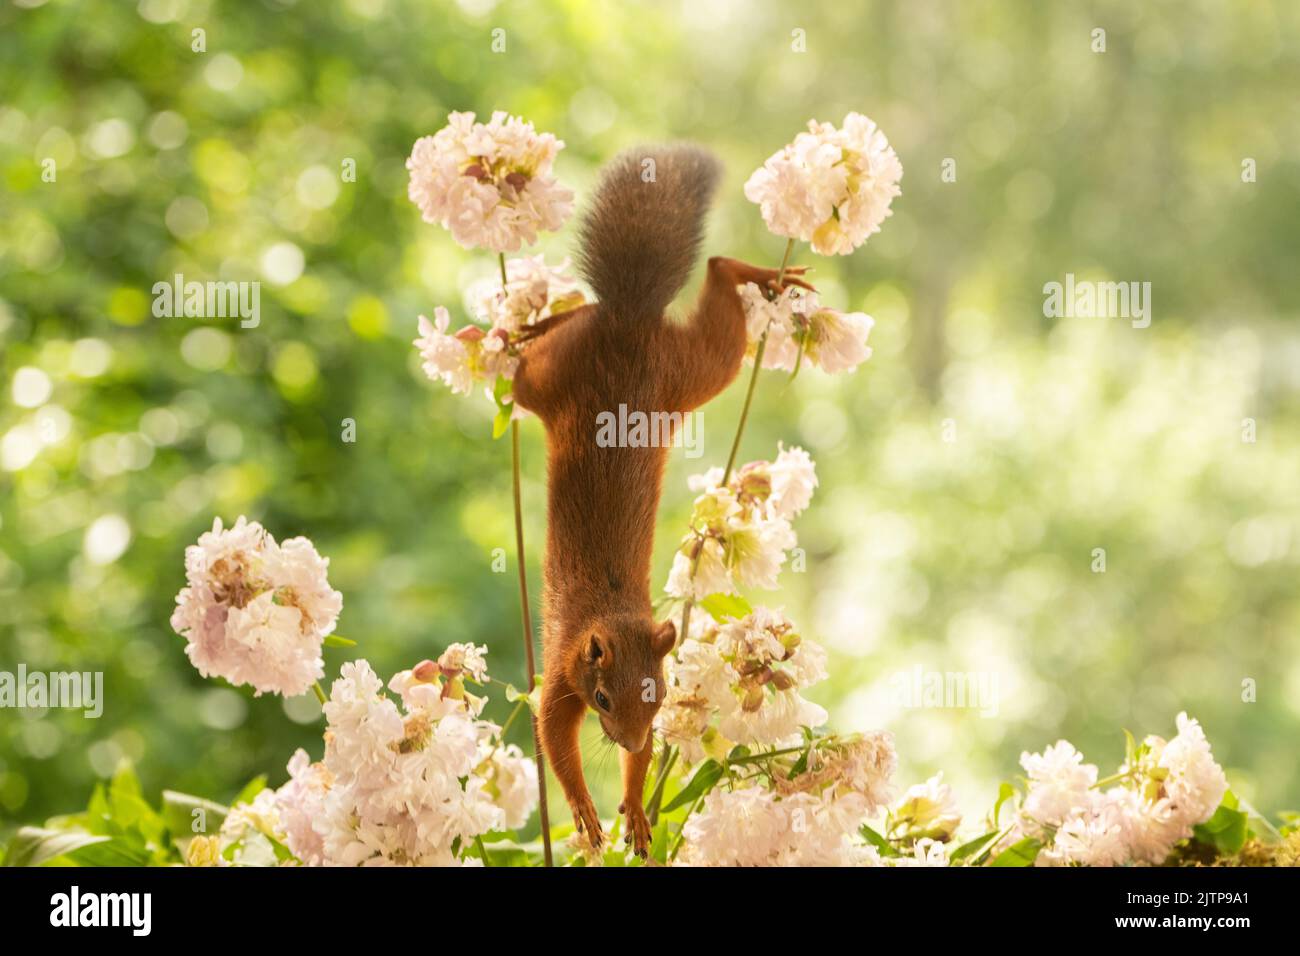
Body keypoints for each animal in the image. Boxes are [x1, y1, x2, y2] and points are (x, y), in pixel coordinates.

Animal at [511, 145, 812, 856]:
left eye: (664, 691)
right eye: (602, 700)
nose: (631, 736)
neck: (613, 619)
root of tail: (629, 318)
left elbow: (638, 765)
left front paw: (634, 807)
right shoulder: (559, 680)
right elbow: (553, 742)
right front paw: (586, 810)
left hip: (690, 372)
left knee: (711, 278)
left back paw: (760, 272)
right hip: (566, 379)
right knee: (538, 358)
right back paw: (527, 327)